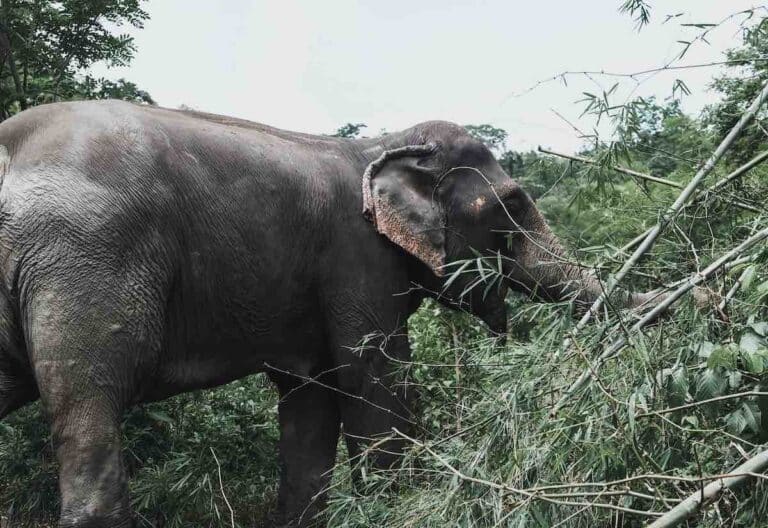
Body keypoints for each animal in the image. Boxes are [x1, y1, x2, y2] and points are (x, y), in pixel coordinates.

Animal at [0, 100, 665, 527]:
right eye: (515, 206)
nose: (680, 300)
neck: (382, 146)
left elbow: (312, 402)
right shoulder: (356, 258)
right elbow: (375, 384)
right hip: (87, 259)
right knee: (91, 401)